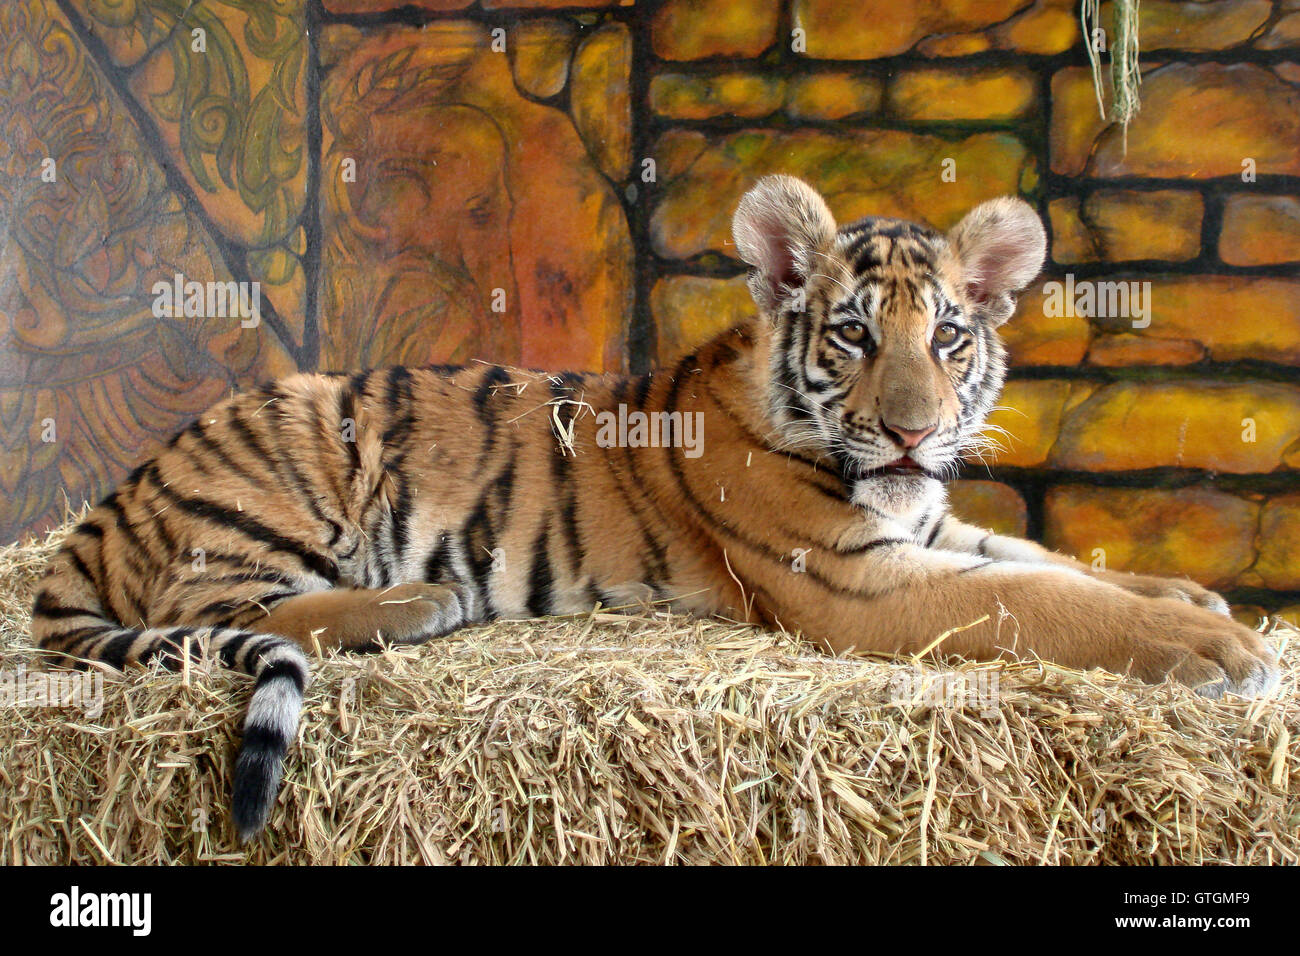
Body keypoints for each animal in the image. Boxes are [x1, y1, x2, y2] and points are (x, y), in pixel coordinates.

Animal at [30, 174, 1281, 842]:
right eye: (852, 334)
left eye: (949, 336)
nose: (915, 432)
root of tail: (123, 488)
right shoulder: (857, 580)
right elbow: (1035, 599)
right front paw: (1215, 645)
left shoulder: (925, 528)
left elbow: (1053, 561)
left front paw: (1191, 596)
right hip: (283, 474)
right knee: (227, 608)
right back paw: (416, 602)